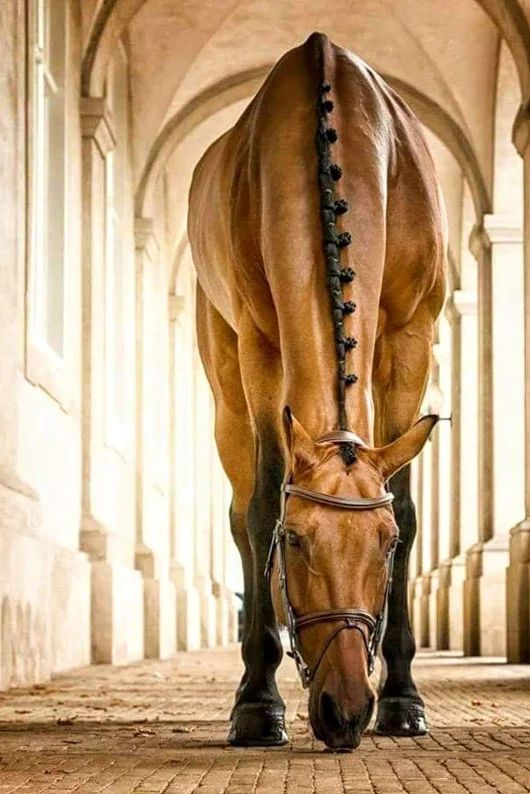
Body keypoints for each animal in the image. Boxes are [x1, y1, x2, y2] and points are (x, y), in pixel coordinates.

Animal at [188, 32, 446, 751]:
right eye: (297, 540)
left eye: (385, 544)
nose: (345, 708)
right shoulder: (258, 344)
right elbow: (258, 508)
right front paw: (257, 704)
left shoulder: (413, 333)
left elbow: (409, 502)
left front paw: (404, 698)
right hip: (221, 366)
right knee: (237, 506)